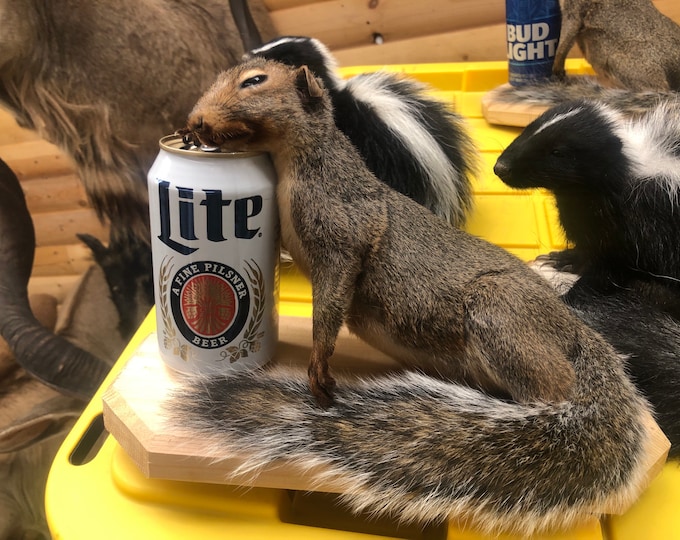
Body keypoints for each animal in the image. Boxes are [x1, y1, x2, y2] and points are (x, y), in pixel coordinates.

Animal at [170, 57, 661, 535]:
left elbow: (331, 302)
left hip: (500, 313)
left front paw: (319, 364)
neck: (298, 161)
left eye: (255, 80)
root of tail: (579, 333)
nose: (194, 121)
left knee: (551, 385)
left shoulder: (345, 232)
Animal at [494, 99, 680, 457]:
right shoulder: (592, 220)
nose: (501, 167)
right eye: (530, 128)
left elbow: (607, 273)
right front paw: (560, 259)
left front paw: (567, 299)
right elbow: (587, 251)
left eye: (559, 152)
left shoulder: (639, 227)